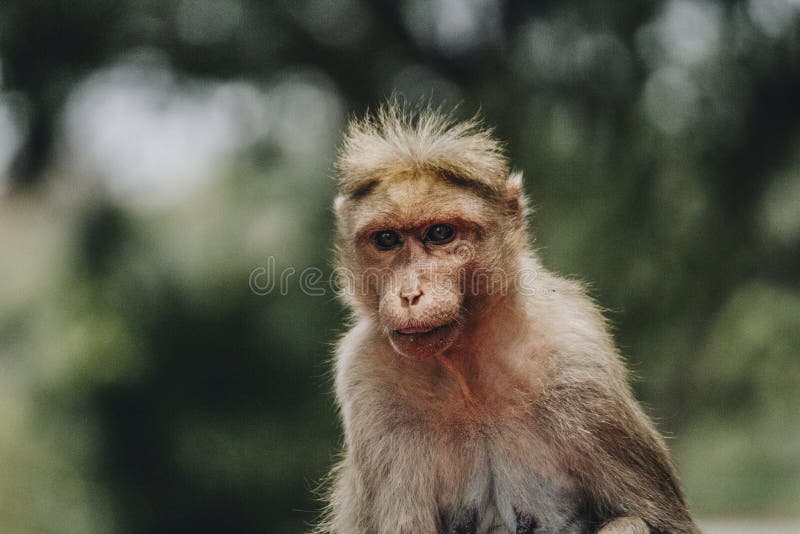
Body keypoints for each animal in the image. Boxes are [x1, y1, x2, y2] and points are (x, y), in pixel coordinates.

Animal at [317, 103, 698, 534]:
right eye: (386, 240)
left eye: (440, 233)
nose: (410, 294)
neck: (466, 369)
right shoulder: (368, 377)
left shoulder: (579, 359)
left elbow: (661, 521)